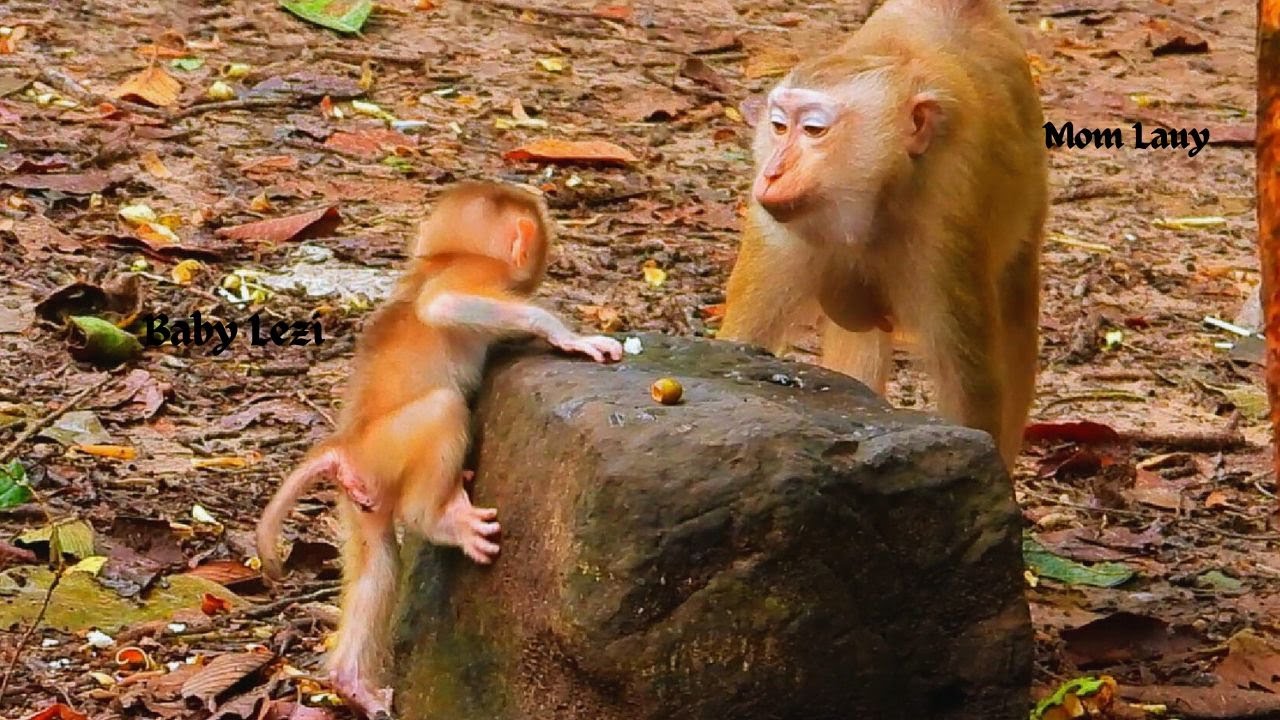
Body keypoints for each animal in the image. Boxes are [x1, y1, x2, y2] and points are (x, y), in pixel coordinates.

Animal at [255, 181, 624, 718]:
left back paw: (350, 683)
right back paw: (439, 520)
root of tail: (345, 442)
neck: (442, 256)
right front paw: (568, 335)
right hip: (388, 448)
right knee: (444, 409)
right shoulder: (478, 274)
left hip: (362, 487)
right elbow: (443, 305)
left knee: (379, 562)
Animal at [719, 0, 1048, 469]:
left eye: (814, 130)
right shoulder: (773, 231)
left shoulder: (946, 225)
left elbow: (971, 389)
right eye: (779, 126)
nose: (772, 171)